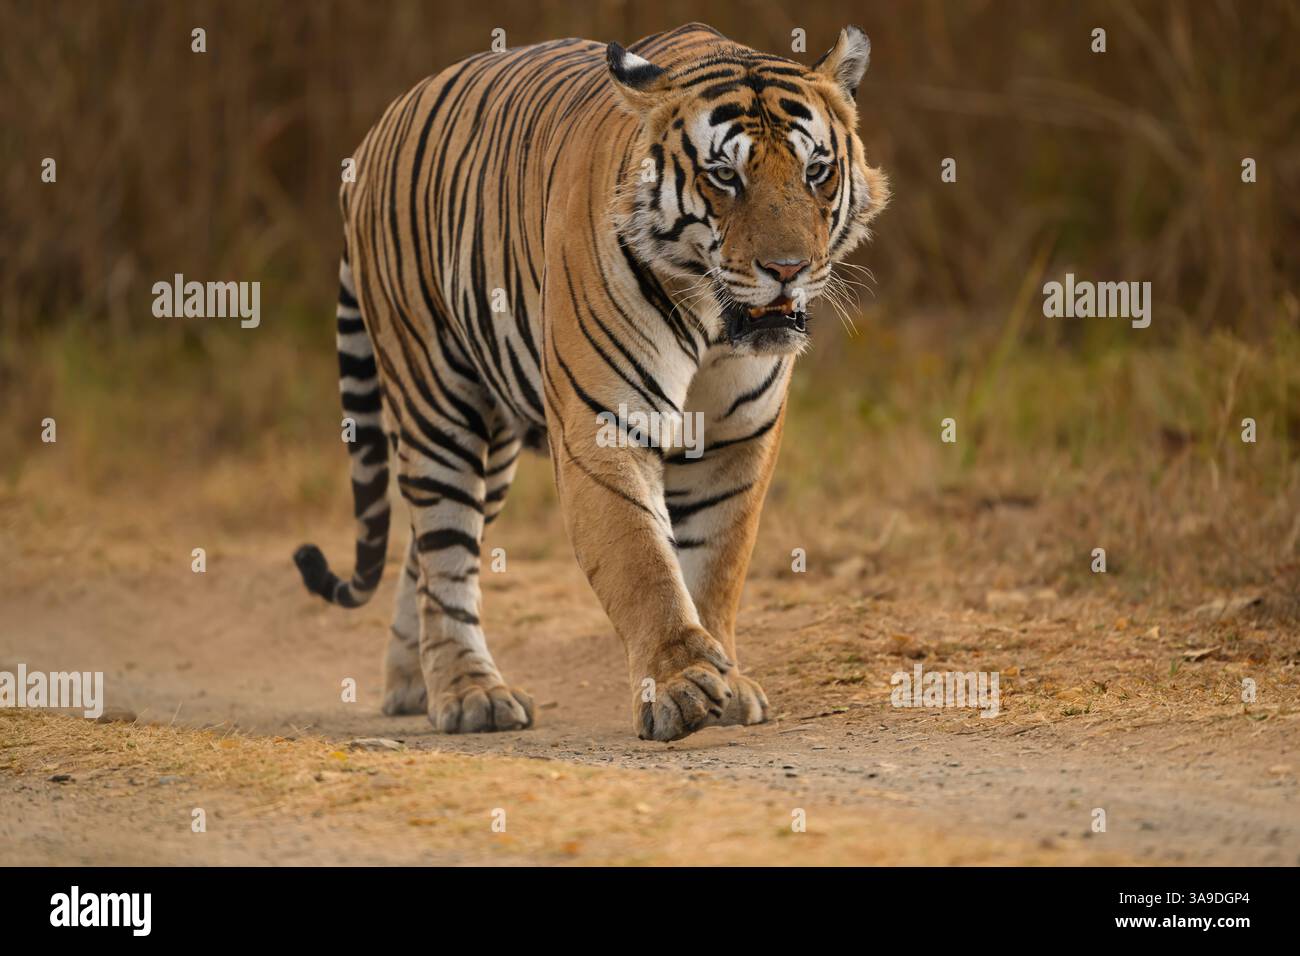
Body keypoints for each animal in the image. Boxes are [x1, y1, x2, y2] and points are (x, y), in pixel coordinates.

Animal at [293, 22, 889, 741]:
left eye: (816, 172)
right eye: (725, 176)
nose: (787, 269)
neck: (713, 320)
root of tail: (375, 136)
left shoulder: (735, 440)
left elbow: (716, 563)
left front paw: (725, 679)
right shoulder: (605, 423)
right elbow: (643, 562)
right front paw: (683, 683)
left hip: (496, 444)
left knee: (422, 553)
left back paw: (416, 684)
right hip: (438, 403)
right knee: (445, 547)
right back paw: (469, 692)